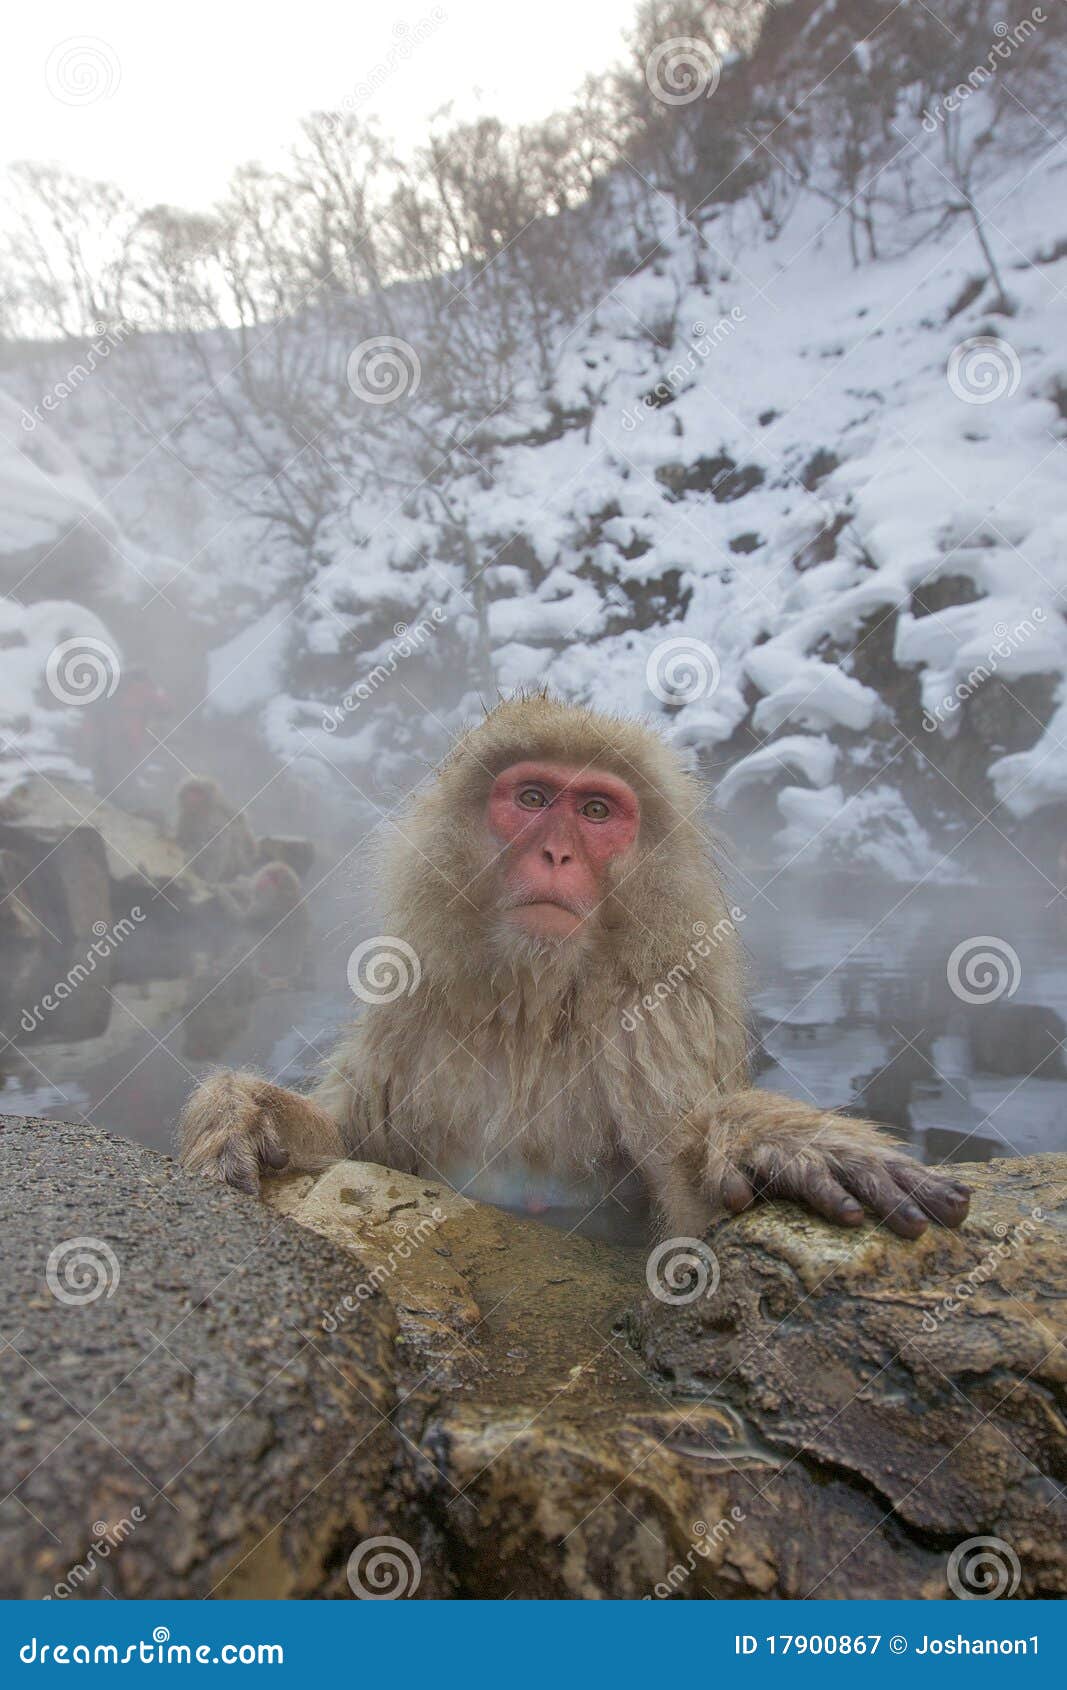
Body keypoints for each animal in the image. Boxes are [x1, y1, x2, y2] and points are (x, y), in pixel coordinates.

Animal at [178, 695, 970, 1240]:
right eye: (532, 798)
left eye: (594, 811)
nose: (556, 853)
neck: (534, 1007)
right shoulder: (412, 1009)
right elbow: (362, 1149)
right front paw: (245, 1112)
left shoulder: (657, 1019)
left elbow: (685, 1230)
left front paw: (773, 1140)